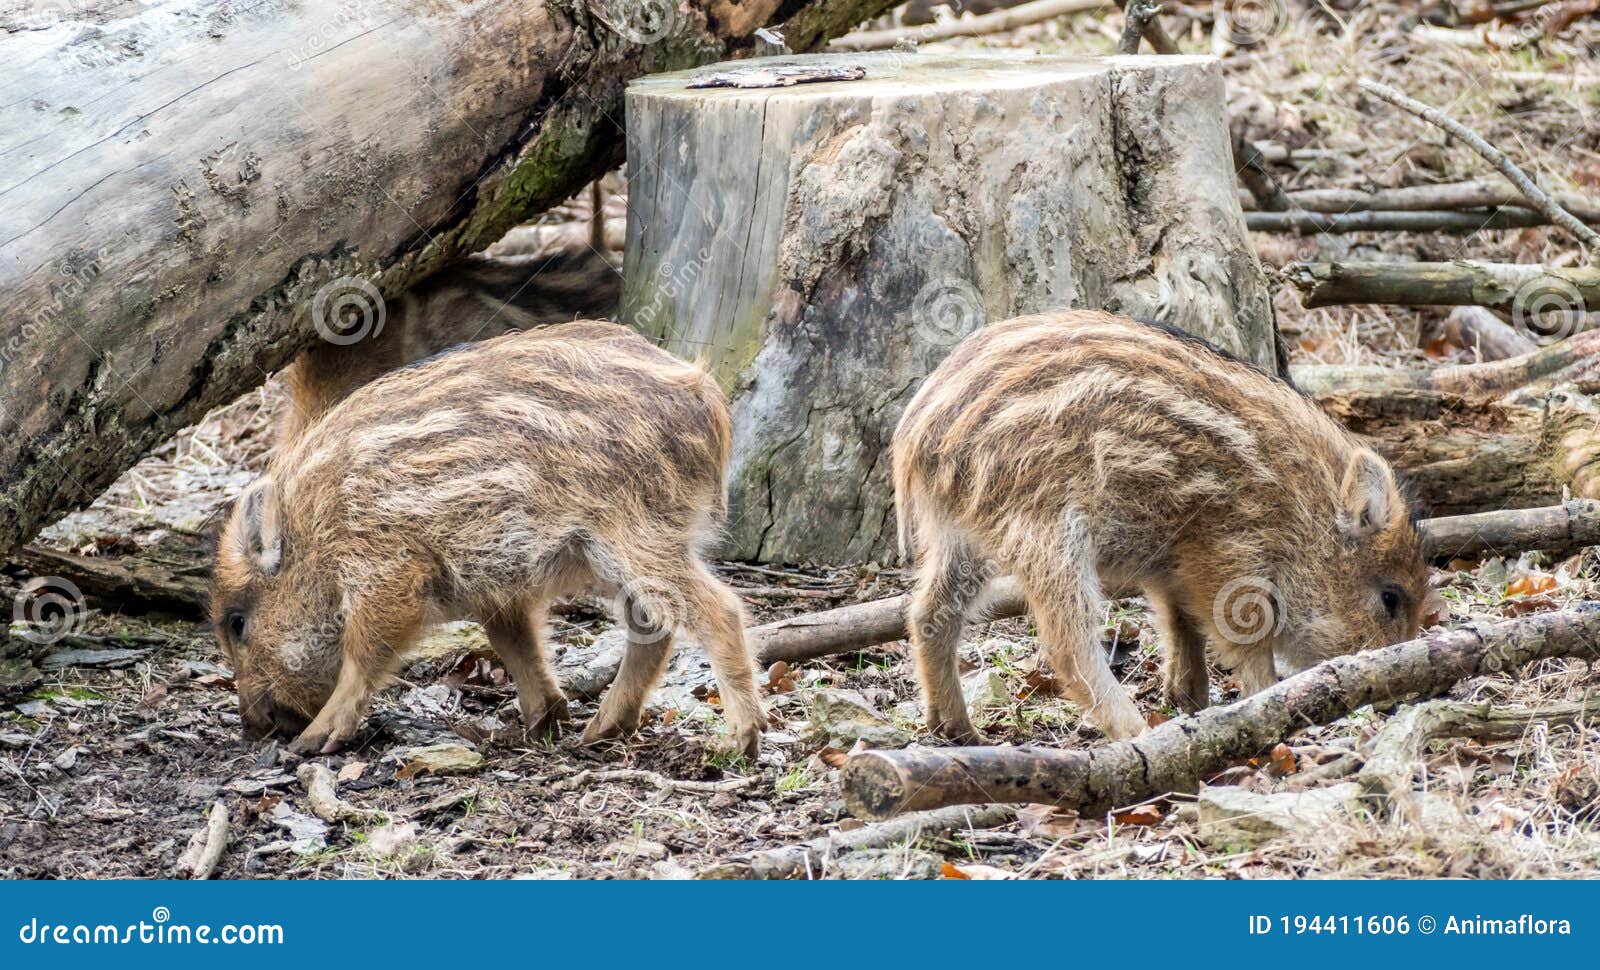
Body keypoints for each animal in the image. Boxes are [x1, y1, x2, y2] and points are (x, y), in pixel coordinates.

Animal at [212, 321, 765, 758]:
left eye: (238, 623)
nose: (255, 728)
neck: (317, 528)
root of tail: (706, 396)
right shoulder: (497, 588)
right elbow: (512, 641)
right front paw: (541, 724)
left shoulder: (388, 574)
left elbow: (363, 655)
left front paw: (314, 742)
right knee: (652, 623)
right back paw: (598, 732)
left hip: (635, 532)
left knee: (718, 611)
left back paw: (738, 742)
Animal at [891, 310, 1429, 742]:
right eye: (1390, 597)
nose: (1396, 699)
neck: (1301, 505)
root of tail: (917, 435)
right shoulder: (1228, 554)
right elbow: (1245, 638)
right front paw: (1263, 699)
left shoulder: (1174, 563)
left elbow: (1179, 619)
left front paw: (1188, 698)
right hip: (1047, 528)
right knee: (1067, 642)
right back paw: (1135, 733)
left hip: (962, 539)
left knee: (929, 614)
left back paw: (957, 730)